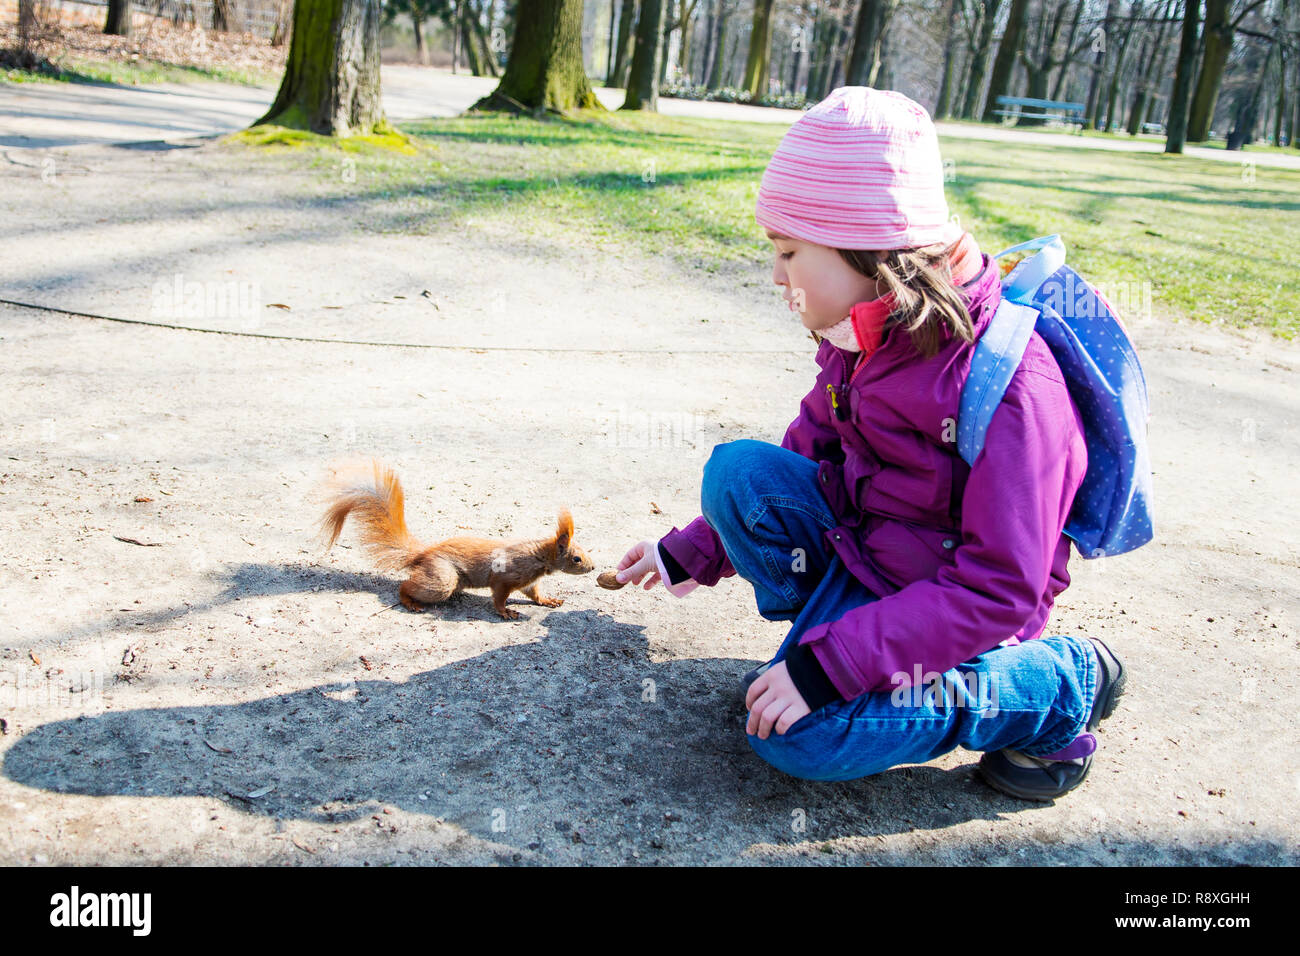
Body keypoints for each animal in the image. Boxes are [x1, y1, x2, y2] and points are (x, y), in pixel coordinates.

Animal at [317, 459, 595, 620]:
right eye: (577, 558)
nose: (593, 567)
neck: (539, 556)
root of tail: (423, 554)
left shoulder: (529, 581)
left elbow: (534, 593)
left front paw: (548, 600)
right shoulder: (506, 576)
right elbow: (499, 596)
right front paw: (506, 612)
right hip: (442, 579)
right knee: (405, 586)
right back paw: (410, 602)